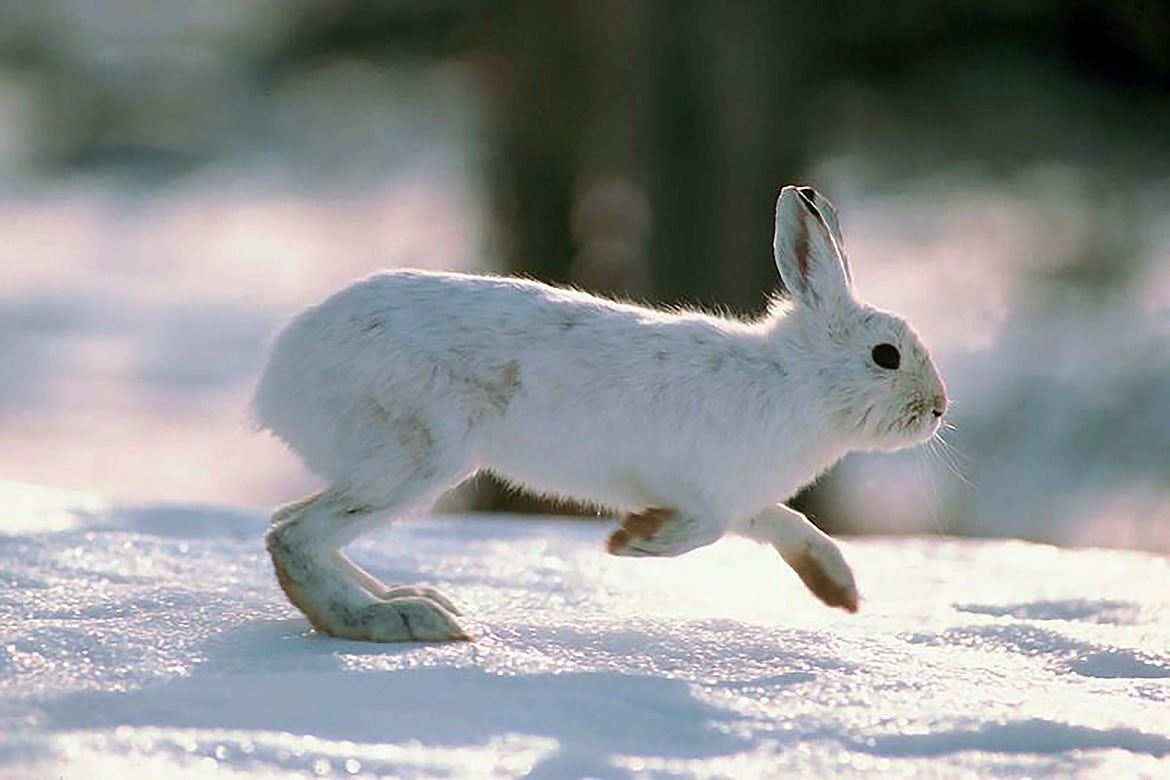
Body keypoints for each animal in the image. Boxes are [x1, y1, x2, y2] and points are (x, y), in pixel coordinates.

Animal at [254, 185, 948, 642]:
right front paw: (633, 541)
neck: (796, 382)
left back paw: (405, 598)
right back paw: (393, 620)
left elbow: (792, 526)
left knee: (295, 526)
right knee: (295, 535)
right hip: (421, 451)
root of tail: (279, 377)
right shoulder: (705, 490)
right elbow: (703, 531)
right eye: (886, 357)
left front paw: (841, 592)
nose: (939, 408)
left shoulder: (743, 499)